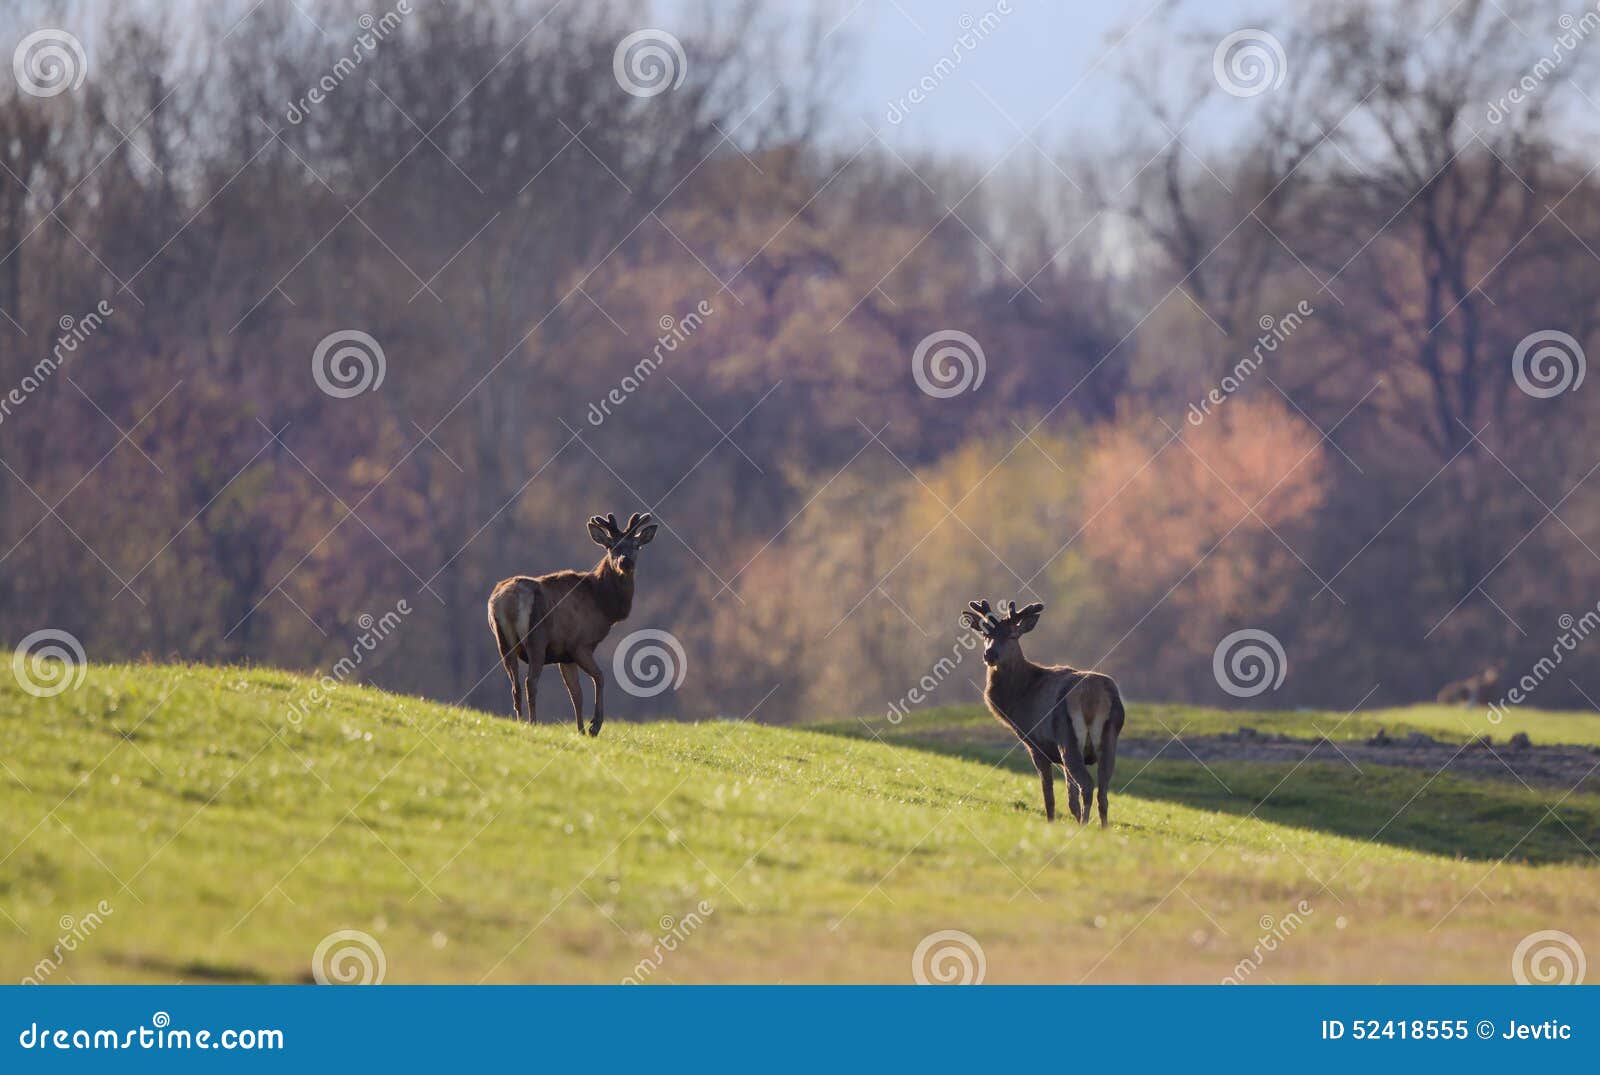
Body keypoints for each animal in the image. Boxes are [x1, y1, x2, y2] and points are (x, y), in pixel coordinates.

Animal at [487, 511, 658, 736]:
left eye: (636, 545)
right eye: (611, 546)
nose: (626, 562)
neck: (603, 604)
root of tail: (507, 601)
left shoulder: (564, 655)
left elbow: (575, 693)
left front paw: (581, 731)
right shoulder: (579, 644)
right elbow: (599, 678)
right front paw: (594, 726)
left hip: (503, 640)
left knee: (515, 685)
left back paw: (521, 722)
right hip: (536, 637)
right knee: (530, 682)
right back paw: (533, 722)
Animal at [961, 599, 1126, 826]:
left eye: (1013, 635)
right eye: (986, 634)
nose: (990, 654)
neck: (1020, 695)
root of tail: (1095, 697)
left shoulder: (1036, 745)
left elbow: (1048, 795)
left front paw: (1051, 824)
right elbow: (1071, 799)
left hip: (1067, 736)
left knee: (1087, 784)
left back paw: (1085, 826)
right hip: (1110, 739)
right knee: (1103, 791)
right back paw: (1102, 829)